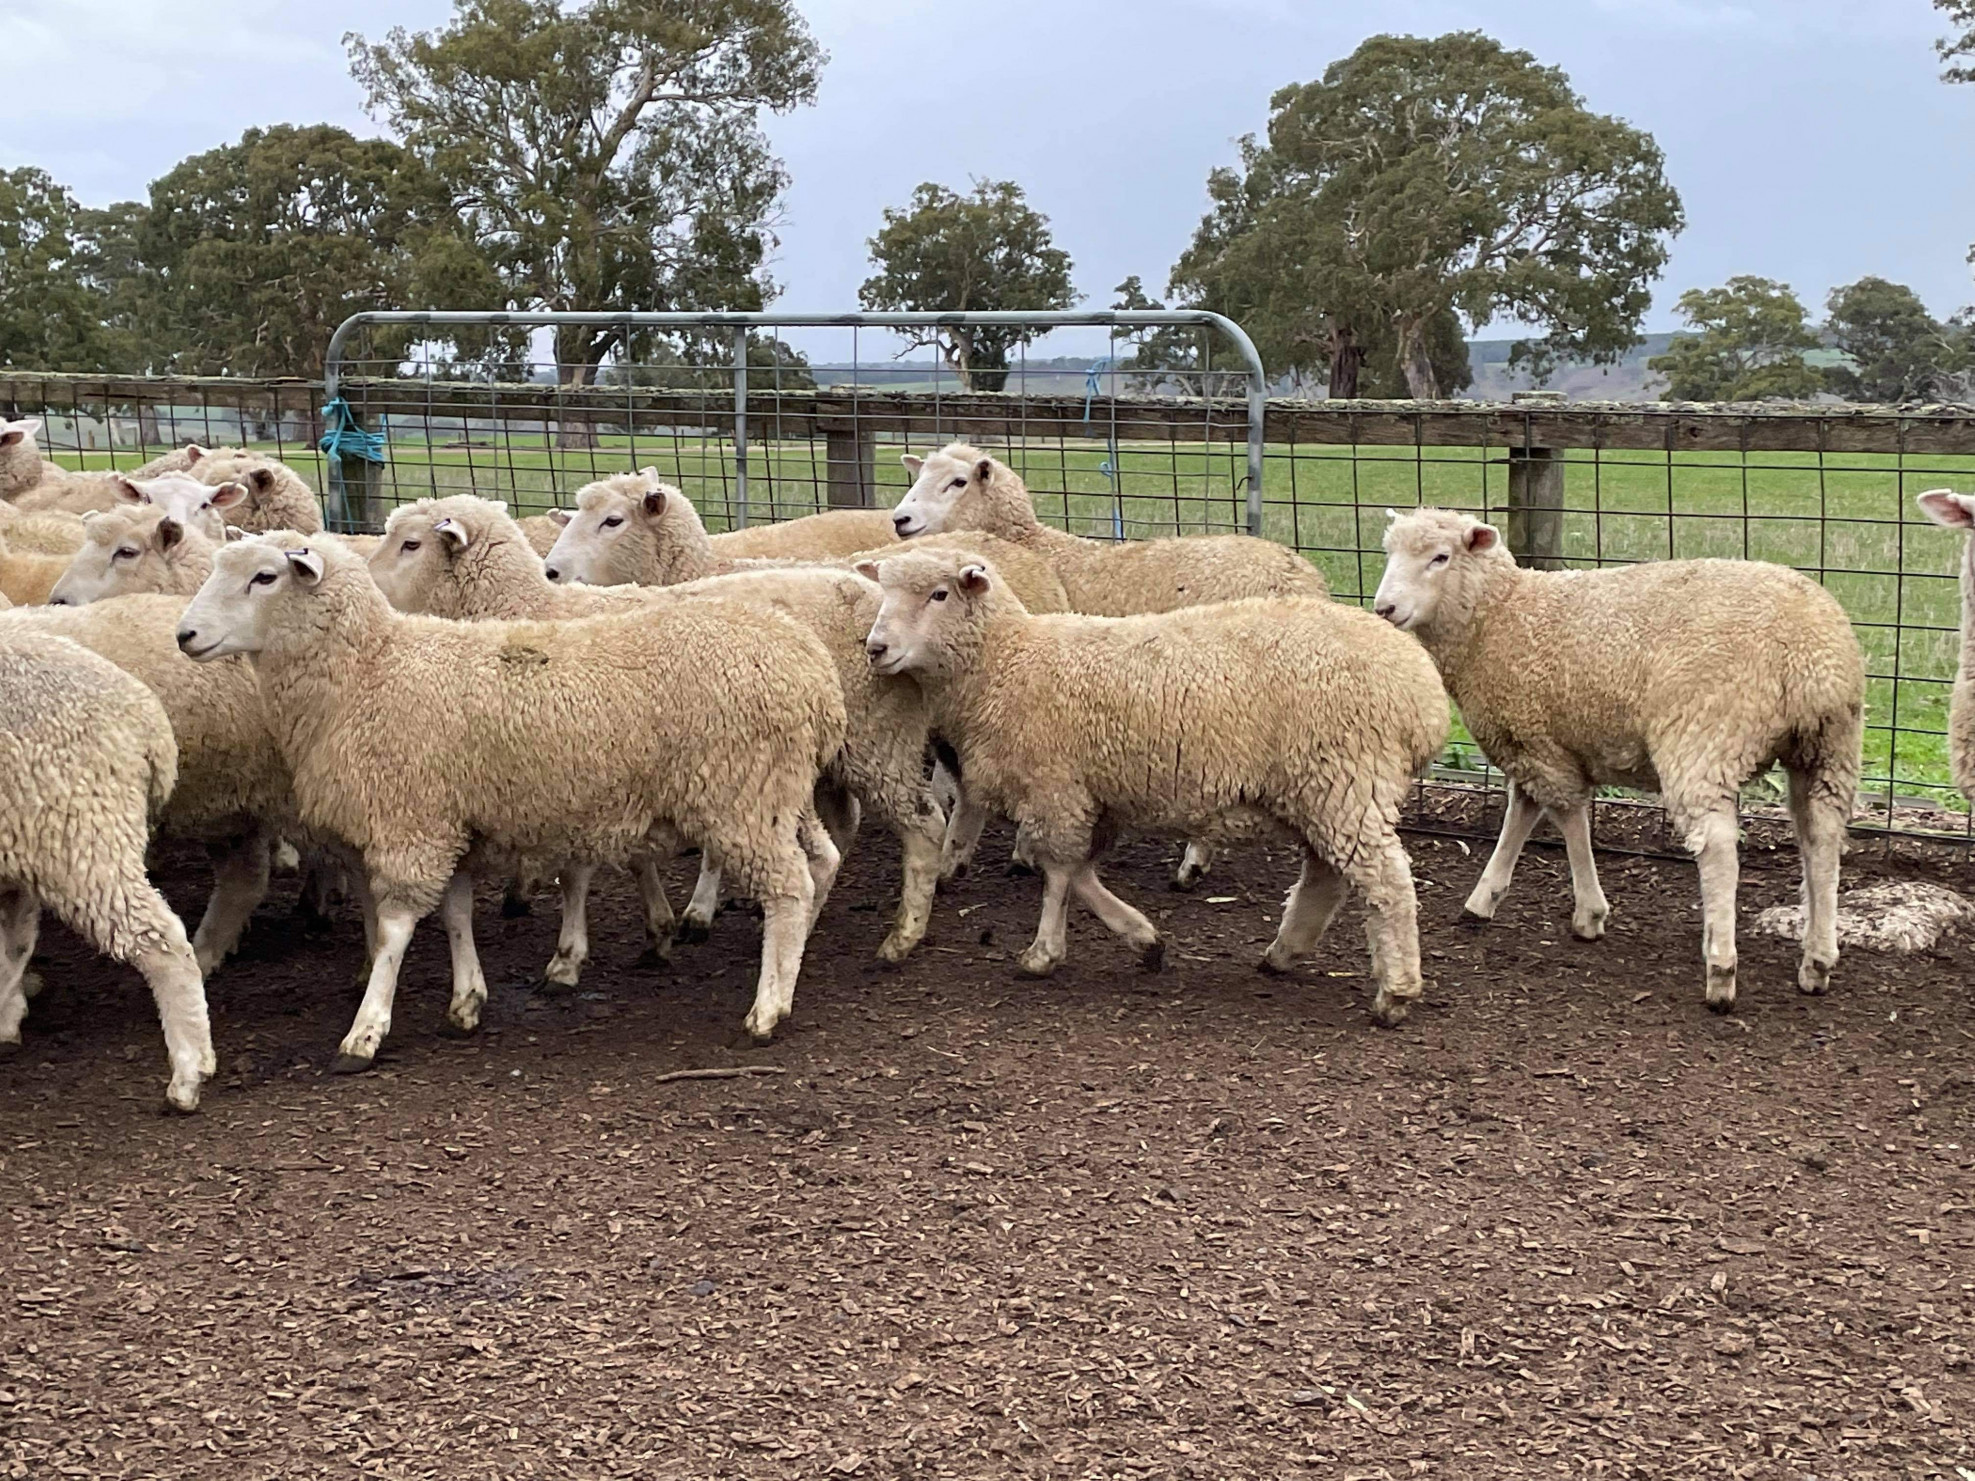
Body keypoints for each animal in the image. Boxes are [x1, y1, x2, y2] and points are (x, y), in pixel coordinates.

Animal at [176, 533, 850, 1063]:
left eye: (264, 577)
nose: (184, 634)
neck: (369, 670)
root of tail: (813, 671)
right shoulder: (449, 820)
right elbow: (455, 914)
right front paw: (466, 1001)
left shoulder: (411, 822)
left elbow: (395, 929)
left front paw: (365, 1032)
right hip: (781, 790)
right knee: (822, 863)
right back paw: (793, 968)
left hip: (742, 793)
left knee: (789, 887)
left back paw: (767, 1011)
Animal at [371, 494, 947, 962]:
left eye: (411, 543)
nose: (368, 582)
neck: (529, 608)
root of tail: (871, 595)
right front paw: (654, 924)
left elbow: (581, 865)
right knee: (835, 838)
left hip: (877, 740)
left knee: (924, 824)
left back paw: (901, 936)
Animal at [860, 550, 1447, 1025]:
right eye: (882, 591)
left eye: (938, 594)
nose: (875, 647)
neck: (1006, 660)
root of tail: (1423, 690)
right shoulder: (1091, 797)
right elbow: (1079, 873)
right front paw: (1143, 939)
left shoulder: (1056, 788)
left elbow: (1058, 874)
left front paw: (1043, 953)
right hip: (1324, 789)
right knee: (1327, 874)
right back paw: (1284, 954)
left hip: (1344, 778)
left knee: (1387, 882)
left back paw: (1395, 993)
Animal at [1373, 507, 1864, 1011]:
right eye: (1389, 552)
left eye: (1440, 557)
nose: (1383, 609)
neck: (1502, 615)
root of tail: (1806, 651)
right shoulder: (1533, 743)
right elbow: (1521, 817)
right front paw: (1483, 900)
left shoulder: (1540, 745)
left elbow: (1567, 820)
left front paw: (1589, 914)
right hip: (1828, 747)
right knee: (1822, 836)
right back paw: (1817, 960)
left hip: (1705, 735)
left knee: (1719, 847)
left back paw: (1721, 969)